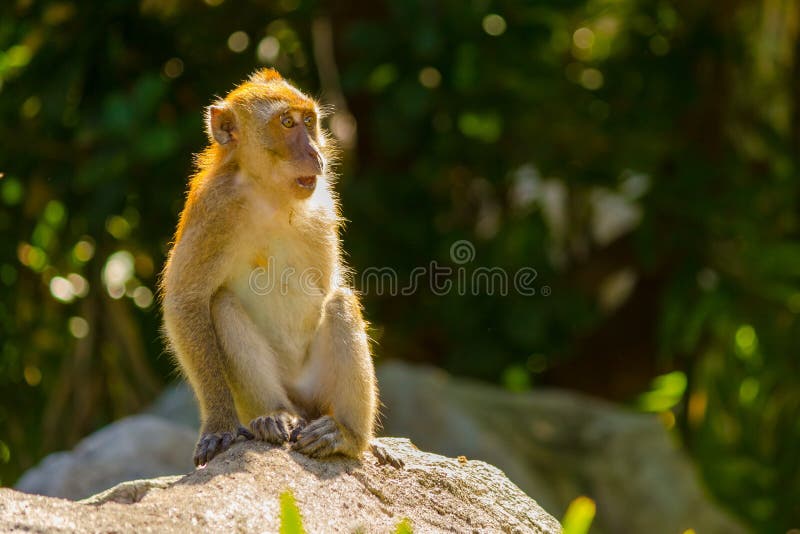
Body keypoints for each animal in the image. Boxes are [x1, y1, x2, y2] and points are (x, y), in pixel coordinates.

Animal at [161, 69, 399, 468]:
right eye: (286, 123)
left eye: (308, 122)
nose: (315, 153)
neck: (268, 194)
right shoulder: (213, 211)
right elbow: (186, 301)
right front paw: (219, 424)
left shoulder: (323, 205)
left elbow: (331, 285)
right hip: (269, 395)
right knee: (221, 305)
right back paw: (275, 416)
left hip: (320, 390)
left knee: (340, 301)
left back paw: (348, 436)